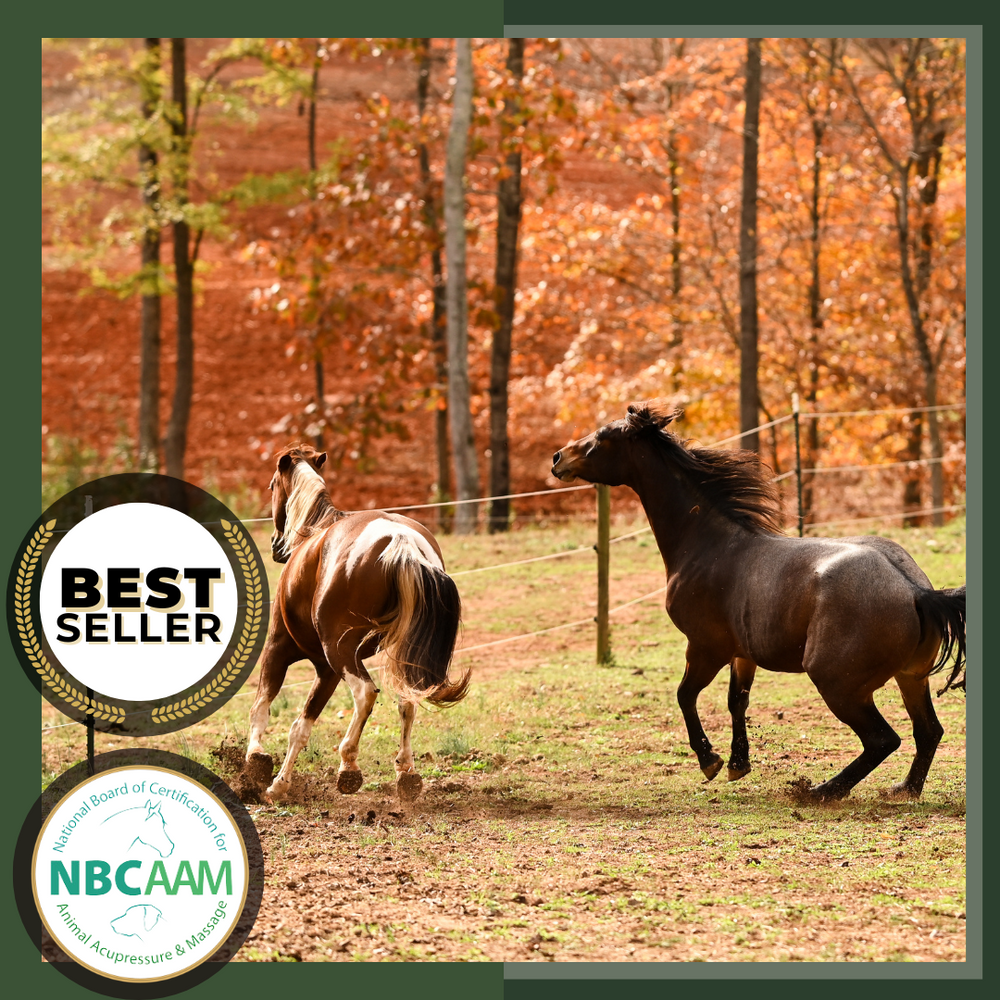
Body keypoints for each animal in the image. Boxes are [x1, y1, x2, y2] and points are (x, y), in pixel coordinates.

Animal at [245, 444, 469, 803]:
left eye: (271, 485)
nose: (277, 546)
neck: (316, 530)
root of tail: (401, 540)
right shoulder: (326, 670)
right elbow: (302, 727)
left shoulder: (280, 648)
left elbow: (263, 707)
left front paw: (263, 766)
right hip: (391, 653)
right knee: (407, 699)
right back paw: (406, 773)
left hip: (341, 651)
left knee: (366, 693)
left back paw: (348, 765)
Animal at [552, 402, 966, 801]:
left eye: (603, 436)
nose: (558, 458)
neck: (708, 543)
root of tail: (917, 591)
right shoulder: (741, 653)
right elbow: (737, 701)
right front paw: (738, 764)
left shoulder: (705, 647)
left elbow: (685, 695)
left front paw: (710, 760)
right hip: (910, 678)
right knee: (928, 731)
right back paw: (904, 789)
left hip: (839, 686)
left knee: (883, 739)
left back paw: (821, 791)